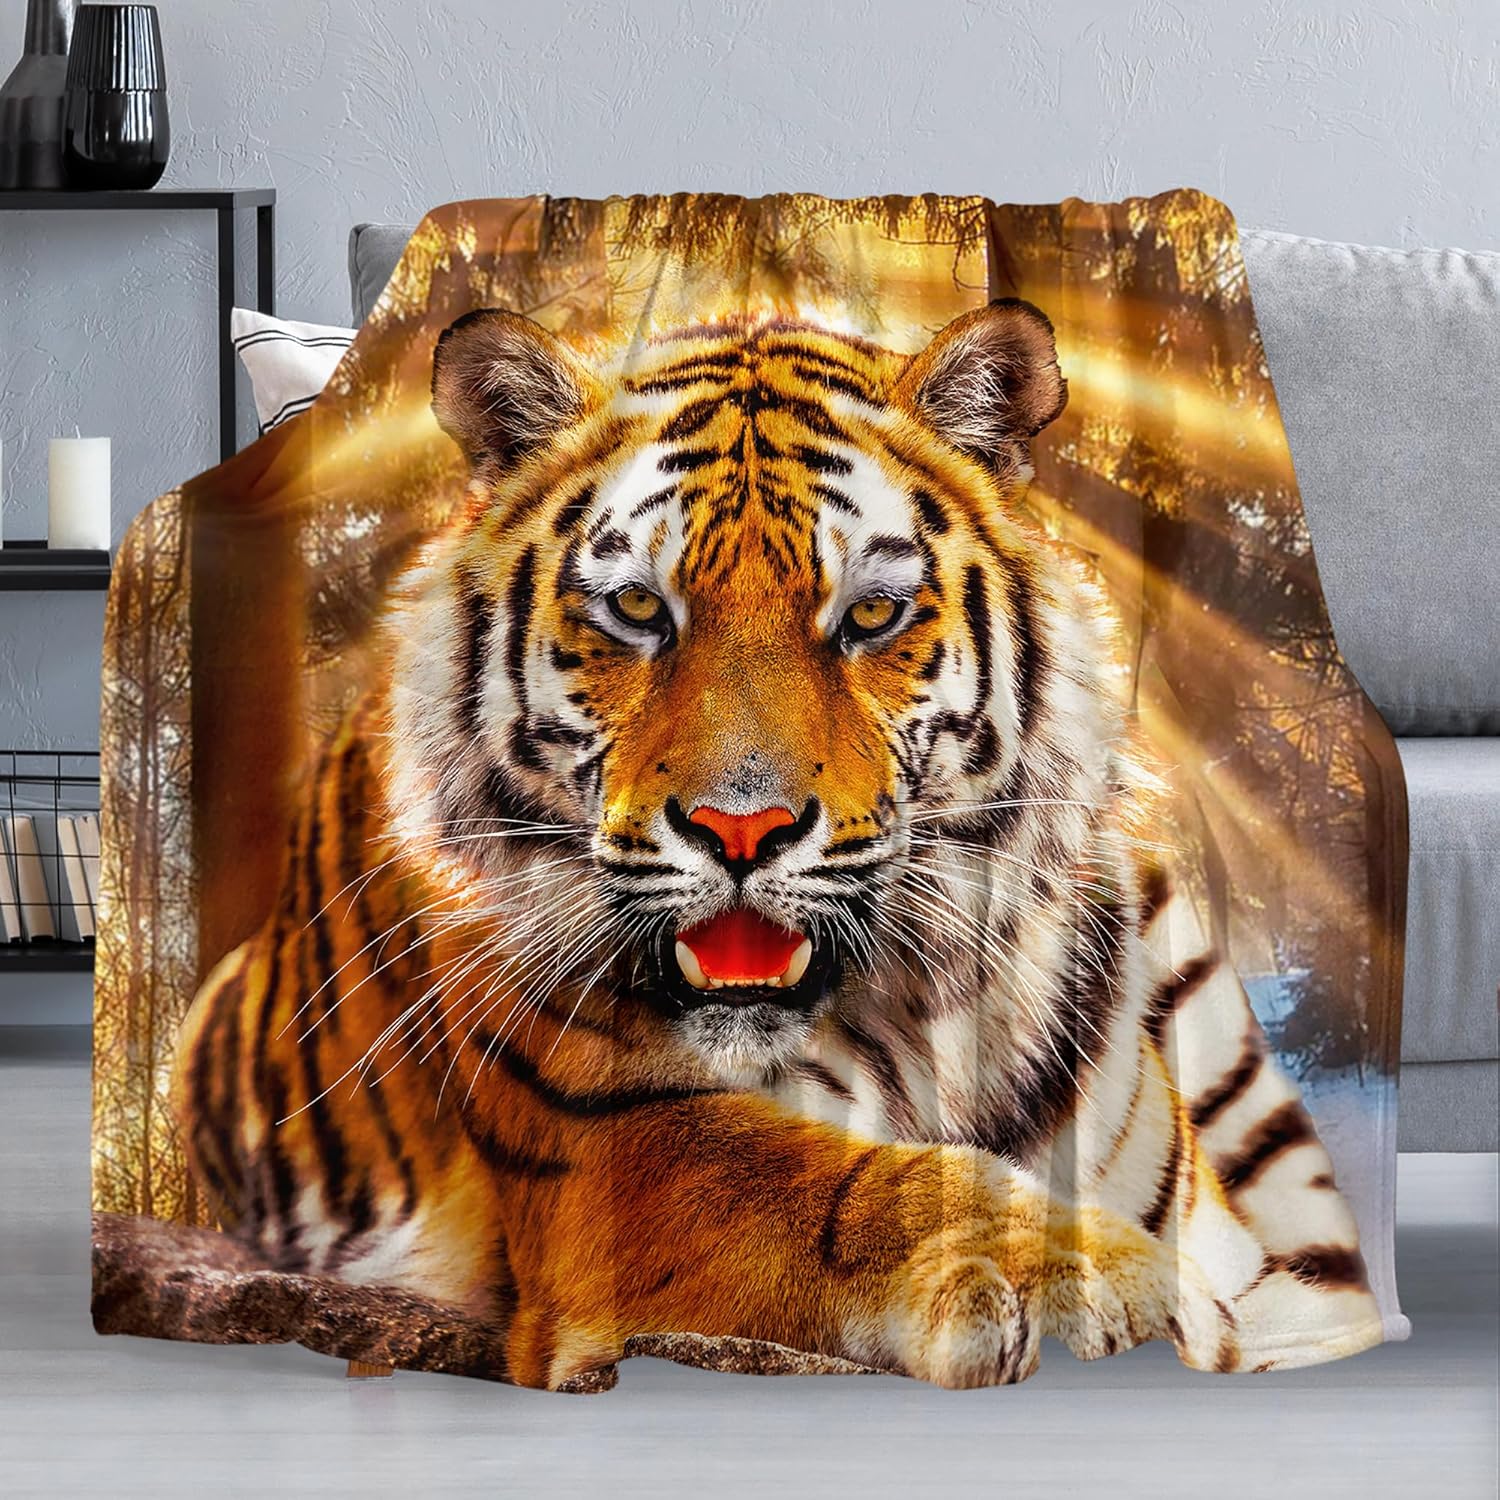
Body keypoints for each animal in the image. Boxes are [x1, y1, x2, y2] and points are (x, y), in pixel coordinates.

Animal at [174, 298, 1384, 1391]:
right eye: (637, 610)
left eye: (870, 616)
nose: (739, 830)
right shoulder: (610, 1148)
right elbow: (815, 1185)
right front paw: (1058, 1269)